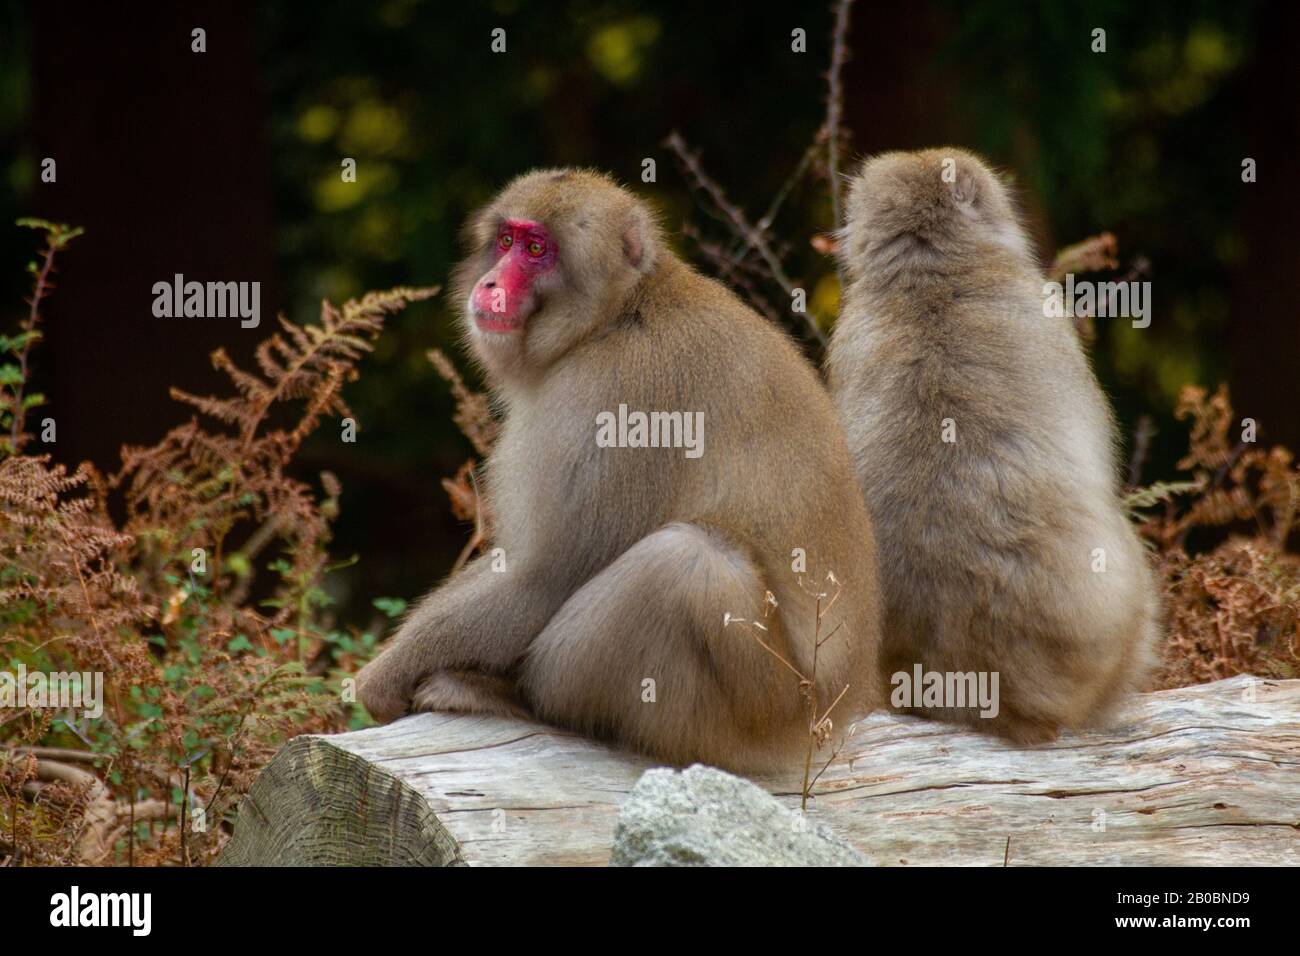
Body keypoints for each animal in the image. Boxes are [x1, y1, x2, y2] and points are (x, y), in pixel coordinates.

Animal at [357, 168, 883, 770]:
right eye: (508, 241)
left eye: (537, 250)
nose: (489, 284)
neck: (612, 317)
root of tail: (833, 721)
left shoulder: (618, 398)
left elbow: (546, 576)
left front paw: (380, 680)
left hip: (757, 715)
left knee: (685, 563)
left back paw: (521, 700)